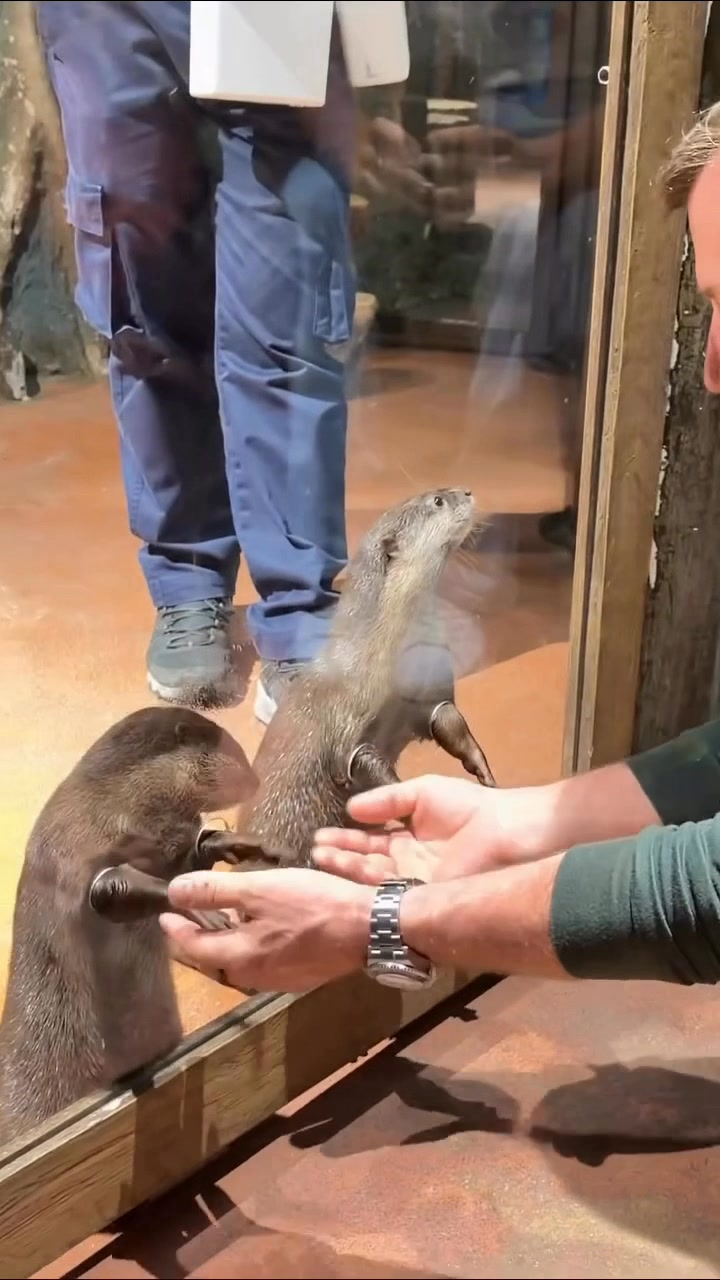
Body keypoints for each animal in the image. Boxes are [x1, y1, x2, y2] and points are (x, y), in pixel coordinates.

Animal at [0, 706, 255, 1145]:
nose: (255, 780)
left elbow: (182, 863)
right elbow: (110, 890)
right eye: (234, 753)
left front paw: (225, 842)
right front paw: (201, 910)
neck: (117, 802)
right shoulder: (78, 844)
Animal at [199, 487, 495, 873]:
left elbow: (449, 724)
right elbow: (364, 765)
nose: (468, 492)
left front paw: (482, 771)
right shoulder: (349, 727)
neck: (375, 652)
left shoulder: (427, 695)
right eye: (437, 501)